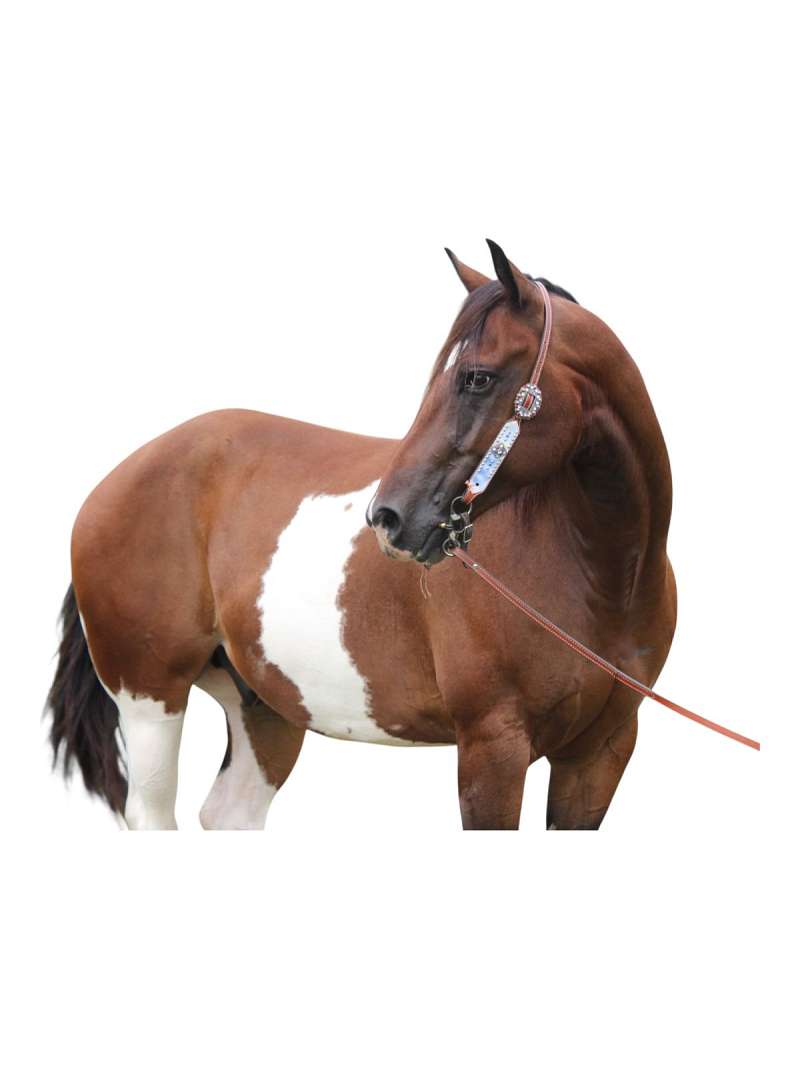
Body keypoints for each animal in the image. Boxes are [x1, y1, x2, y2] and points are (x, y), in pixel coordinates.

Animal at [47, 239, 676, 830]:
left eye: (476, 377)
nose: (389, 518)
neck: (596, 578)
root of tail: (120, 475)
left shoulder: (600, 753)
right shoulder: (491, 748)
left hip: (264, 704)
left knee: (230, 813)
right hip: (149, 699)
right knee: (152, 813)